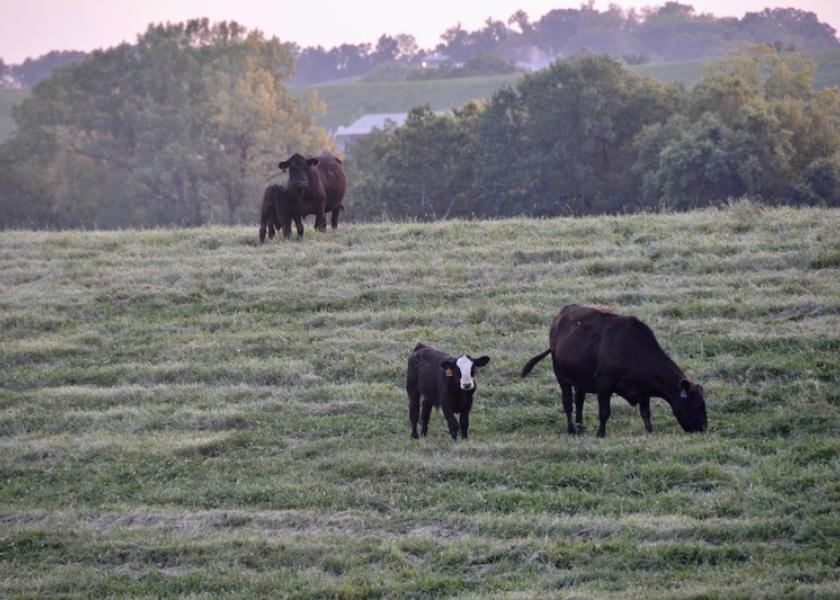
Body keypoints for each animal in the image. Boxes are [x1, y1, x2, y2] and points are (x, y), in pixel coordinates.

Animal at [521, 304, 707, 437]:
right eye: (698, 404)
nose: (703, 428)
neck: (632, 349)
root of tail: (561, 315)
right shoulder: (604, 384)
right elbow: (604, 412)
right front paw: (600, 434)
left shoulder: (643, 389)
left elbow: (645, 412)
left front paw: (650, 432)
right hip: (561, 377)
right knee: (568, 404)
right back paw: (572, 430)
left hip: (580, 380)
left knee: (579, 400)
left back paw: (580, 427)